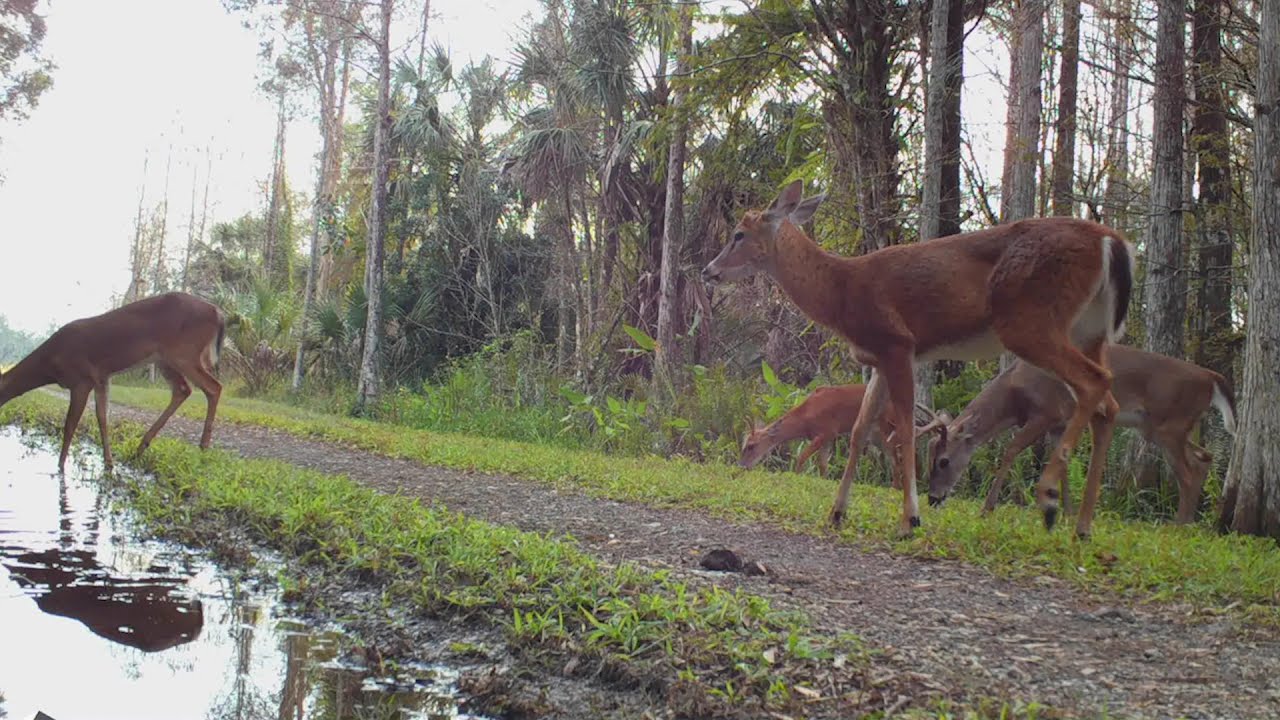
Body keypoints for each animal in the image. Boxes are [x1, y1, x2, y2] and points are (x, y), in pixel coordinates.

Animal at [0, 292, 225, 474]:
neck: (49, 364)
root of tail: (218, 313)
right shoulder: (102, 378)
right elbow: (102, 418)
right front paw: (108, 463)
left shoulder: (81, 380)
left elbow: (70, 424)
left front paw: (60, 467)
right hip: (165, 359)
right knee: (183, 390)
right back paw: (141, 447)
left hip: (184, 353)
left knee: (214, 387)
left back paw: (203, 446)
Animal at [701, 180, 1136, 539]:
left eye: (738, 234)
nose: (708, 270)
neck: (841, 290)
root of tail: (1111, 241)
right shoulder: (877, 357)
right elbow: (859, 430)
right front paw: (837, 512)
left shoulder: (899, 344)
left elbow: (907, 429)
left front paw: (909, 519)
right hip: (1089, 331)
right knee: (1108, 403)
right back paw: (1082, 526)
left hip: (1030, 322)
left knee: (1095, 381)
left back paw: (1048, 500)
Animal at [924, 344, 1237, 523]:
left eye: (944, 461)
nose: (933, 498)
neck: (1015, 393)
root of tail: (1212, 378)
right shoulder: (1059, 422)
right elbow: (1062, 463)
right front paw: (1066, 511)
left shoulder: (1046, 412)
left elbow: (1011, 449)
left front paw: (986, 509)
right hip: (1161, 428)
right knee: (1203, 458)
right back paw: (1188, 524)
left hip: (1169, 425)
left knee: (1187, 473)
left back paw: (1177, 526)